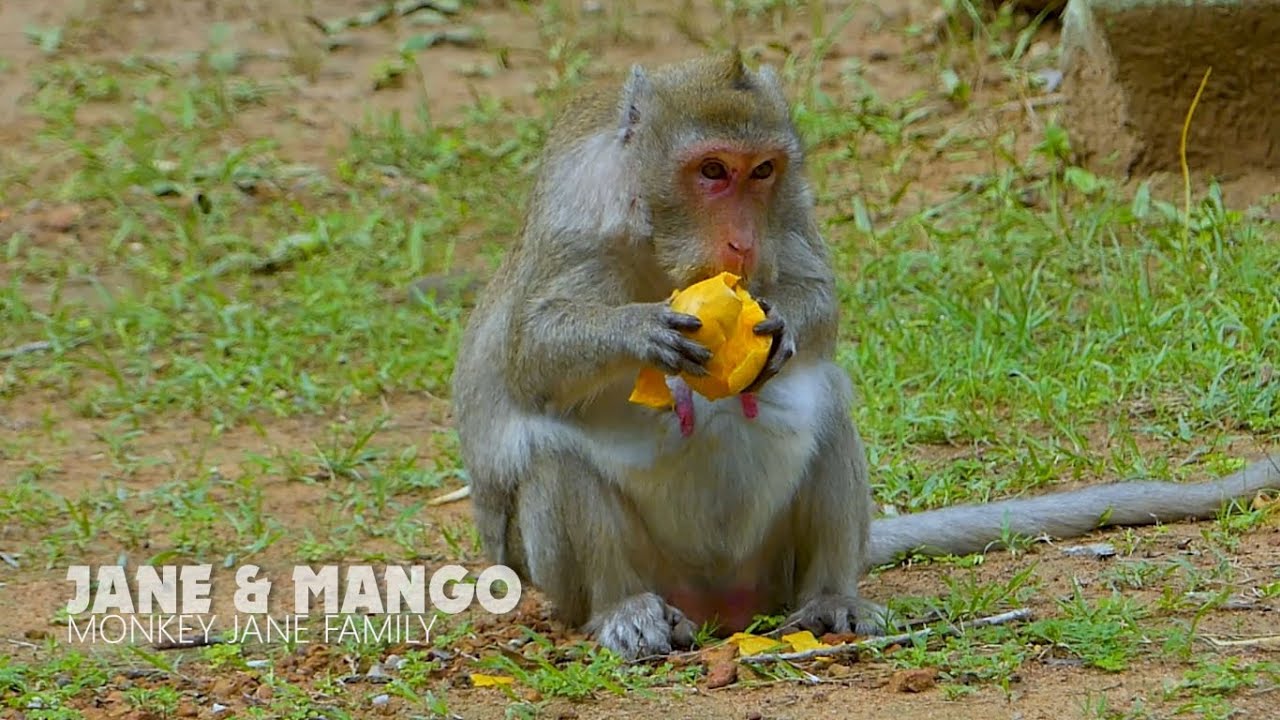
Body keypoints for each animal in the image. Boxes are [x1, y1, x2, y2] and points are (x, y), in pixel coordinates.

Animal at [448, 49, 1280, 660]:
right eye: (711, 171)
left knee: (827, 406)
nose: (742, 244)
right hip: (598, 579)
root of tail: (721, 605)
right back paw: (625, 609)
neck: (660, 241)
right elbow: (531, 355)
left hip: (771, 568)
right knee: (554, 457)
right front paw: (639, 332)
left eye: (761, 172)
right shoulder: (580, 205)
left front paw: (784, 326)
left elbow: (818, 296)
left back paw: (832, 599)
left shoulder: (790, 205)